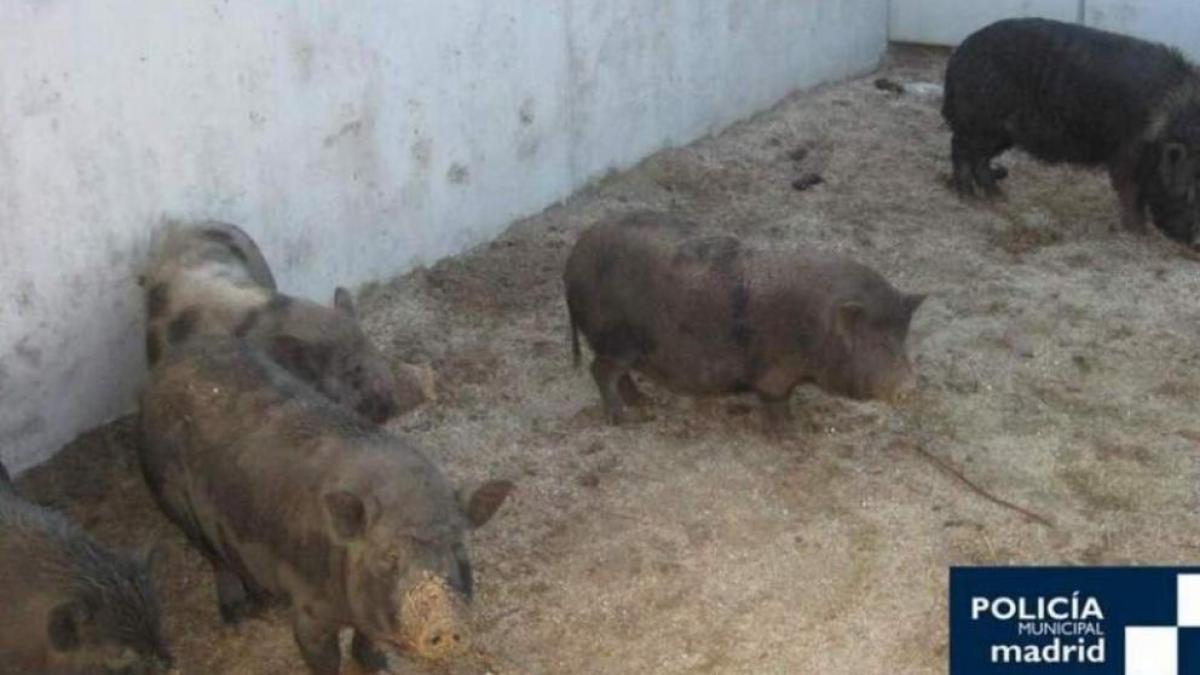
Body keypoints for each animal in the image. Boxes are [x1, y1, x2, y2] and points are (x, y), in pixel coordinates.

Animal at [138, 337, 512, 675]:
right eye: (390, 555)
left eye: (458, 546)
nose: (446, 625)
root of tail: (172, 357)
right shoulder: (309, 611)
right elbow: (324, 658)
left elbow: (367, 641)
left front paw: (381, 667)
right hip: (170, 499)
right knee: (214, 557)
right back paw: (236, 618)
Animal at [563, 211, 925, 427]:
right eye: (875, 341)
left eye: (902, 337)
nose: (911, 387)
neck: (817, 328)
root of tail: (574, 256)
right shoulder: (776, 372)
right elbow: (777, 402)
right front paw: (793, 435)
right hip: (618, 341)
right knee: (601, 370)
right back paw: (621, 418)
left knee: (618, 373)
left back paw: (645, 404)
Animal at [943, 18, 1200, 247]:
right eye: (1187, 193)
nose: (1195, 244)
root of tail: (957, 57)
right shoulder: (1127, 151)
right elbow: (1130, 189)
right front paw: (1139, 233)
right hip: (980, 121)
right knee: (960, 149)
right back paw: (969, 198)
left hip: (1000, 133)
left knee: (979, 159)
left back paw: (999, 197)